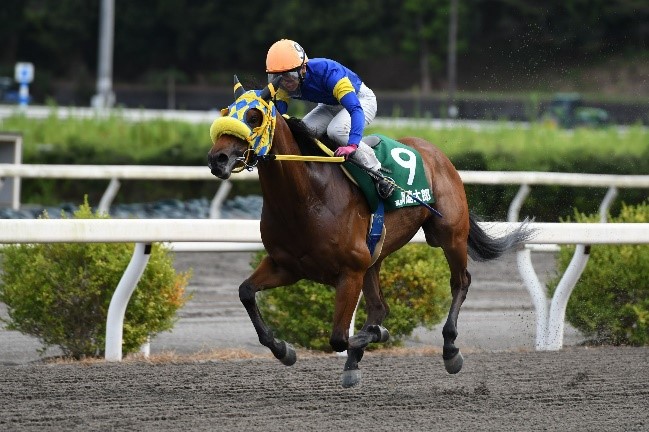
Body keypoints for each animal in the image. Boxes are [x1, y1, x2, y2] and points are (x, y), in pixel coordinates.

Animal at [207, 76, 532, 388]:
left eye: (254, 116)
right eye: (226, 112)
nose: (217, 159)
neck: (308, 197)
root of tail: (435, 152)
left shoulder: (349, 272)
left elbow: (339, 337)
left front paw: (378, 336)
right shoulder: (286, 266)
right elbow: (246, 292)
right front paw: (283, 350)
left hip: (449, 234)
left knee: (460, 282)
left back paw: (450, 350)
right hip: (374, 256)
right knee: (379, 307)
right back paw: (355, 361)